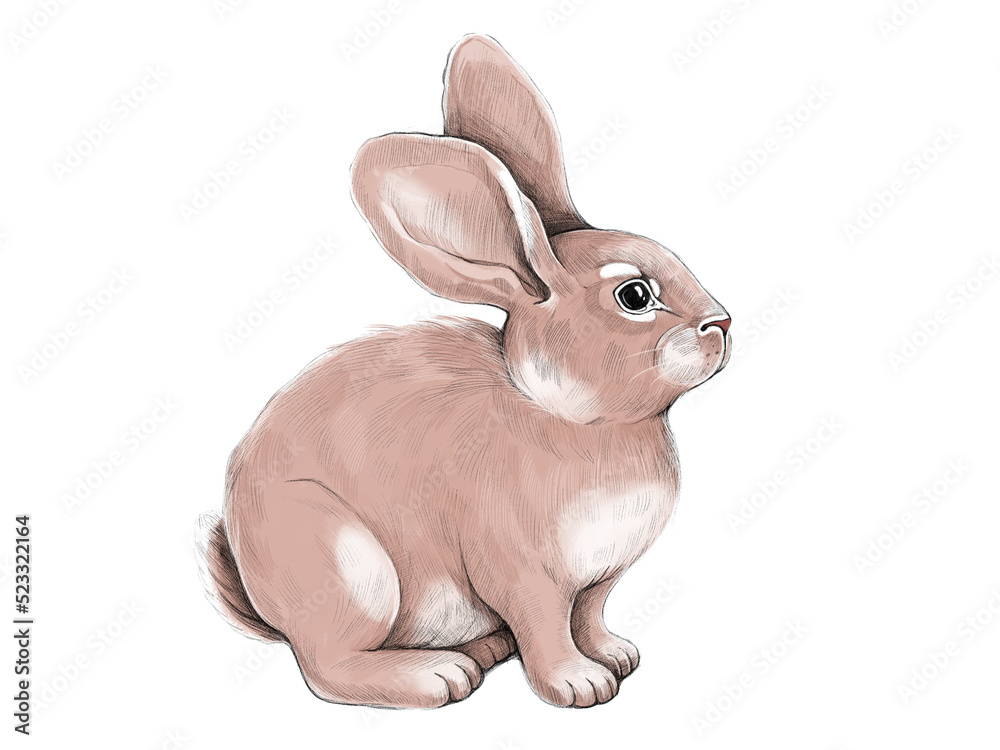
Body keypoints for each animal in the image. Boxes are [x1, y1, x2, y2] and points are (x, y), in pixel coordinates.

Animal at [196, 33, 731, 709]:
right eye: (634, 295)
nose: (722, 324)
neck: (566, 414)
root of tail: (256, 590)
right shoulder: (519, 568)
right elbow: (547, 625)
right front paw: (579, 685)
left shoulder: (600, 579)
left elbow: (589, 615)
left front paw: (617, 656)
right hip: (348, 568)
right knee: (326, 666)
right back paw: (438, 676)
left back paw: (484, 651)